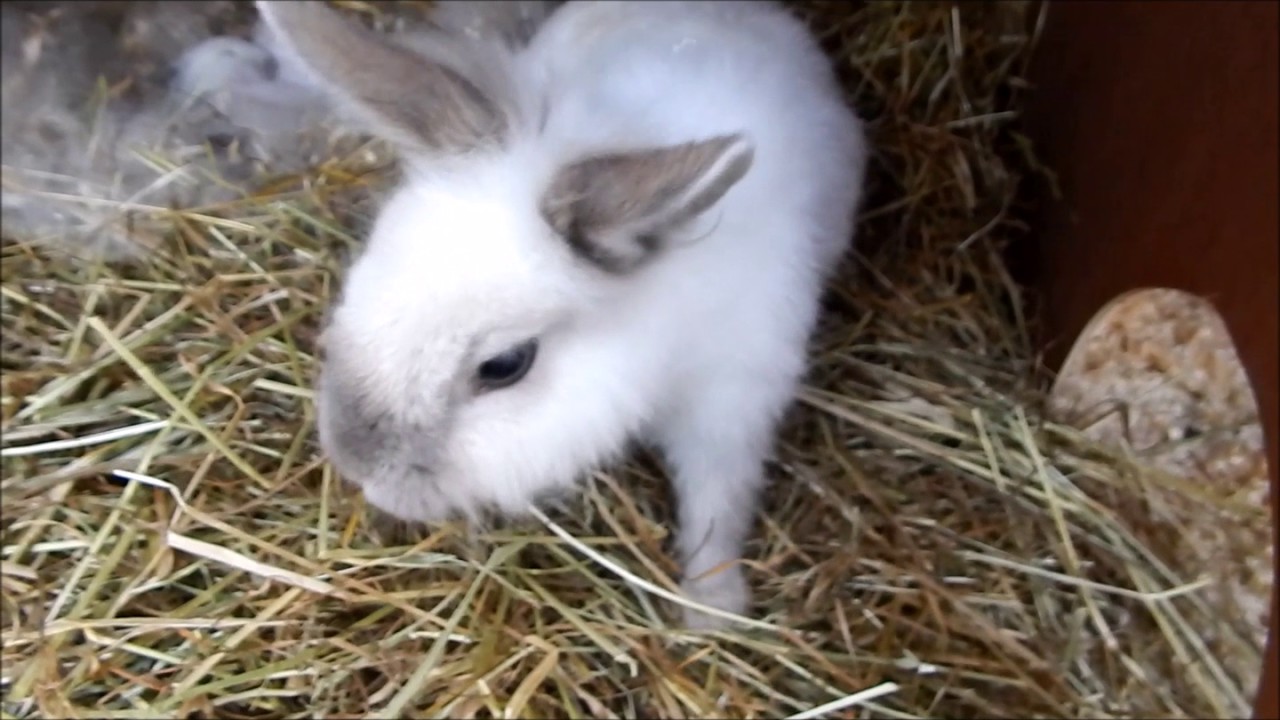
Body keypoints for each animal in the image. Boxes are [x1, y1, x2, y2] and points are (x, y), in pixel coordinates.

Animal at [257, 0, 869, 630]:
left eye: (505, 365)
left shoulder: (732, 405)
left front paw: (712, 611)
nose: (358, 465)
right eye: (363, 278)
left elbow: (717, 504)